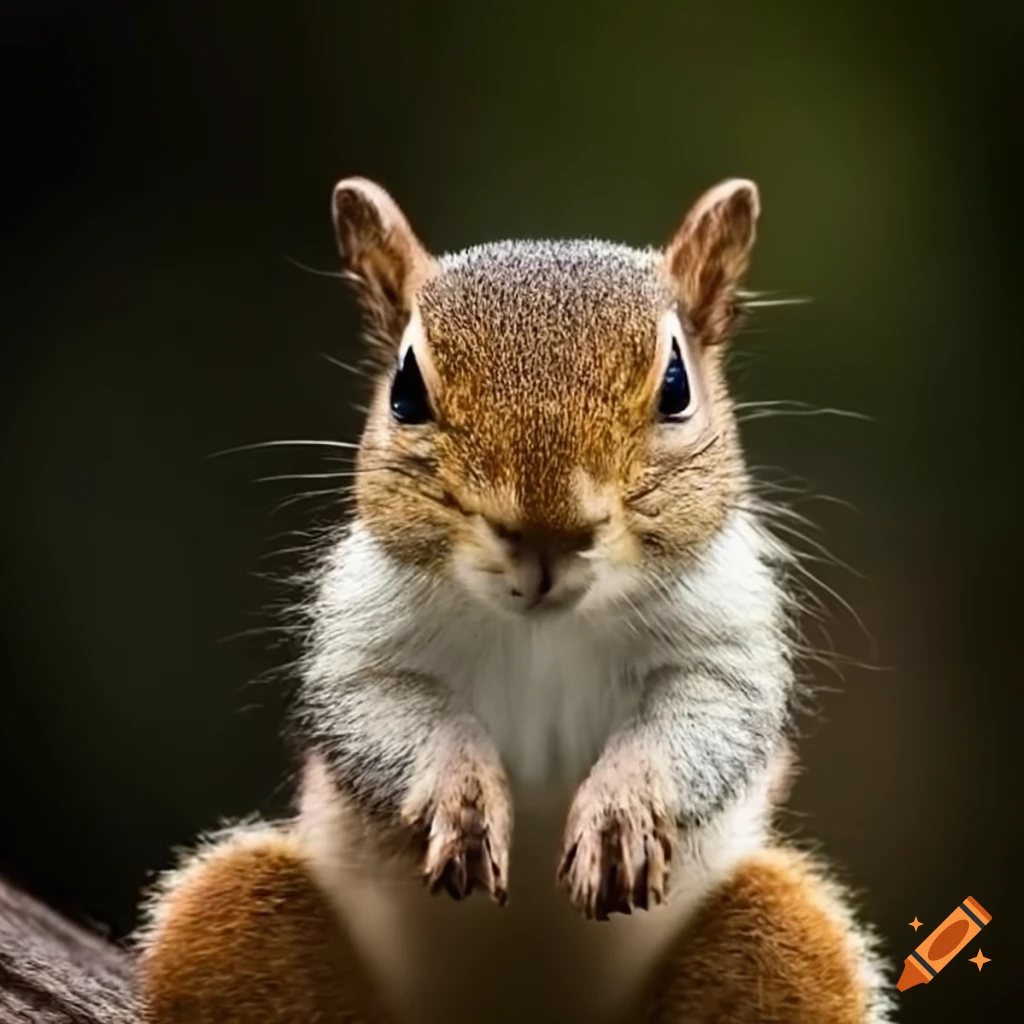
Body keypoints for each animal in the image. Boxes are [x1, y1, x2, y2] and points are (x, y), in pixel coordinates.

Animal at [136, 178, 894, 1023]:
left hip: (779, 934)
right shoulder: (361, 642)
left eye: (676, 386)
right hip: (238, 910)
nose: (545, 532)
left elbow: (706, 724)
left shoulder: (725, 638)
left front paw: (622, 809)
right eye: (405, 390)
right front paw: (460, 792)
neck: (547, 632)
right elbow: (378, 715)